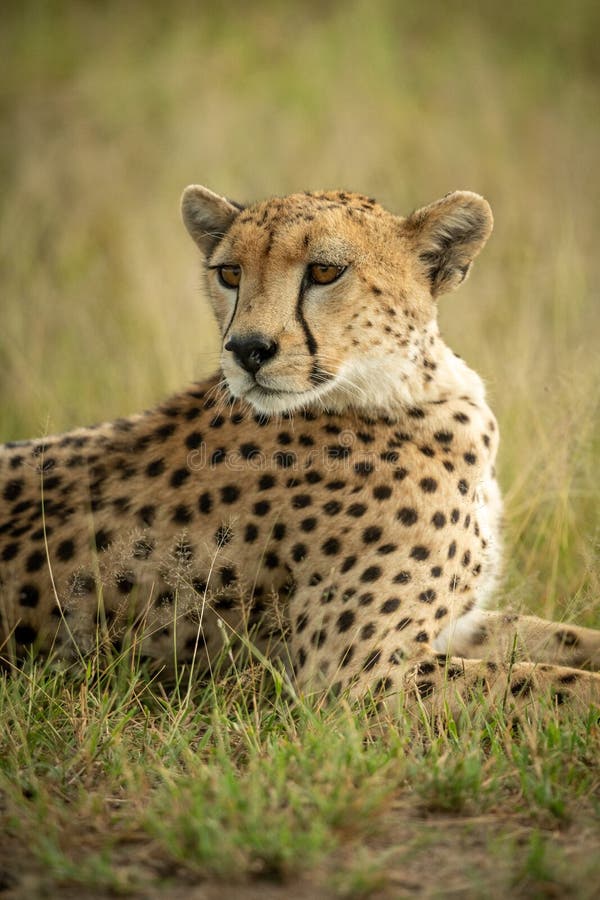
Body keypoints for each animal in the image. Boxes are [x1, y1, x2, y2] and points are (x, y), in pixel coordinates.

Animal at [1, 184, 599, 715]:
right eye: (230, 273)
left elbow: (563, 642)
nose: (247, 349)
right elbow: (554, 684)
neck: (405, 391)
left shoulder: (460, 624)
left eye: (326, 271)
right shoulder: (355, 677)